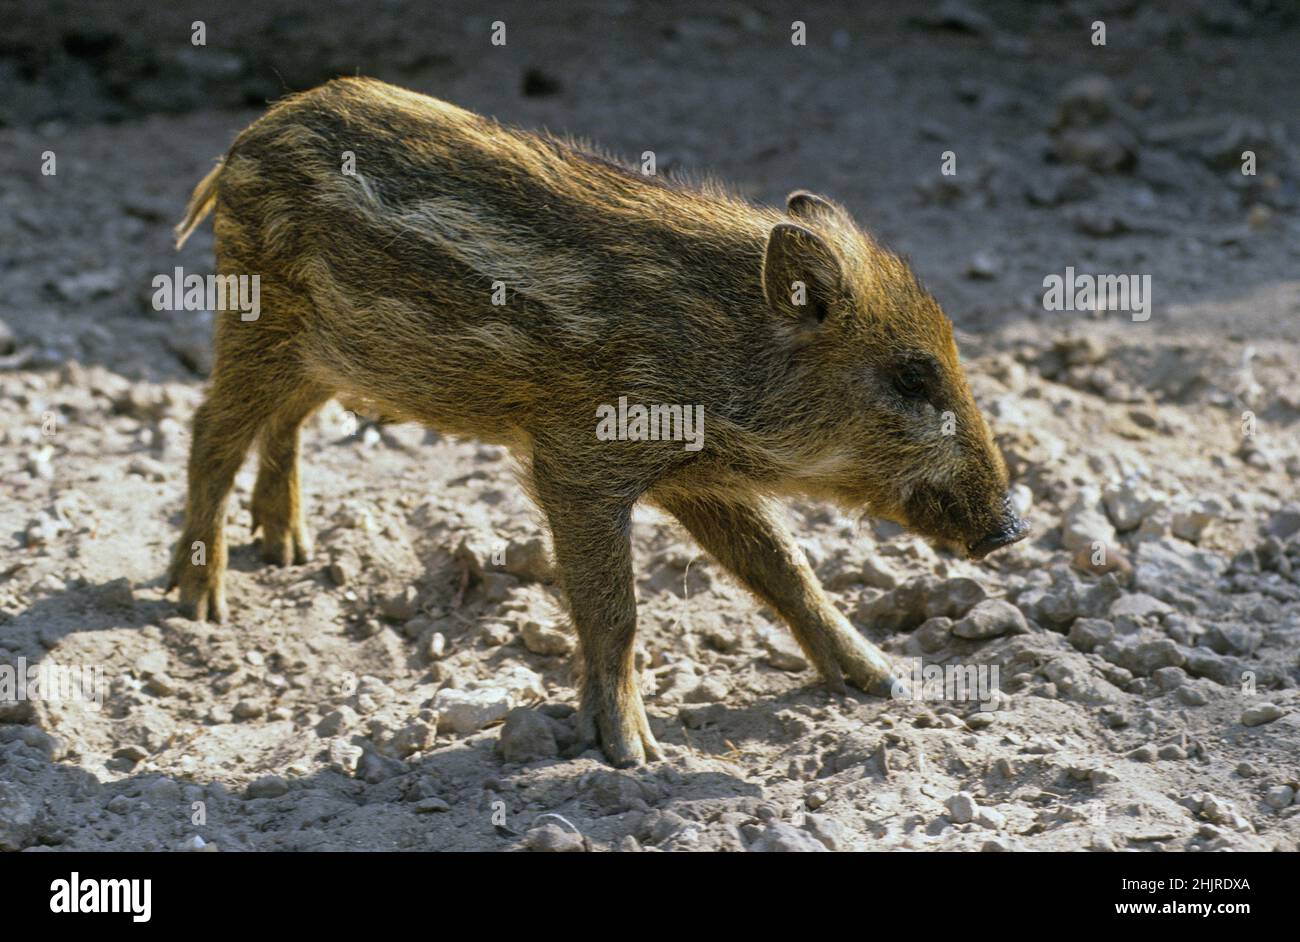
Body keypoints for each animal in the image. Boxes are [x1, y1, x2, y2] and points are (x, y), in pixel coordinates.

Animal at [169, 77, 1027, 767]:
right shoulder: (580, 463)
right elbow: (615, 609)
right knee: (210, 433)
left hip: (335, 355)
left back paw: (287, 549)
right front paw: (634, 752)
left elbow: (786, 568)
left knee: (283, 426)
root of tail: (245, 141)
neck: (726, 349)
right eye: (912, 375)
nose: (1012, 526)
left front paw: (884, 680)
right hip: (257, 319)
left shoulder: (697, 478)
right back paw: (201, 602)